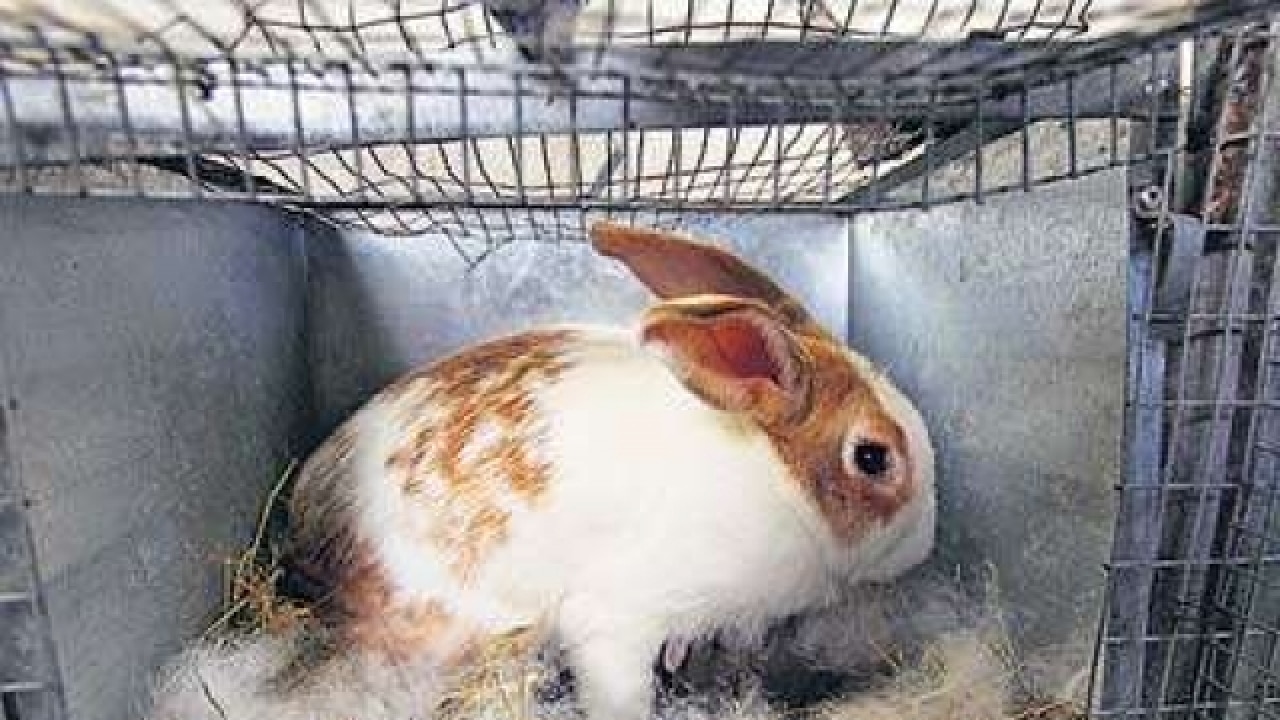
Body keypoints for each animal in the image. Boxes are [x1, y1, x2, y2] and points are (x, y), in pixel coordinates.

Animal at [282, 221, 936, 720]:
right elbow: (620, 689)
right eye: (872, 457)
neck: (779, 485)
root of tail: (307, 523)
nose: (926, 543)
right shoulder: (618, 617)